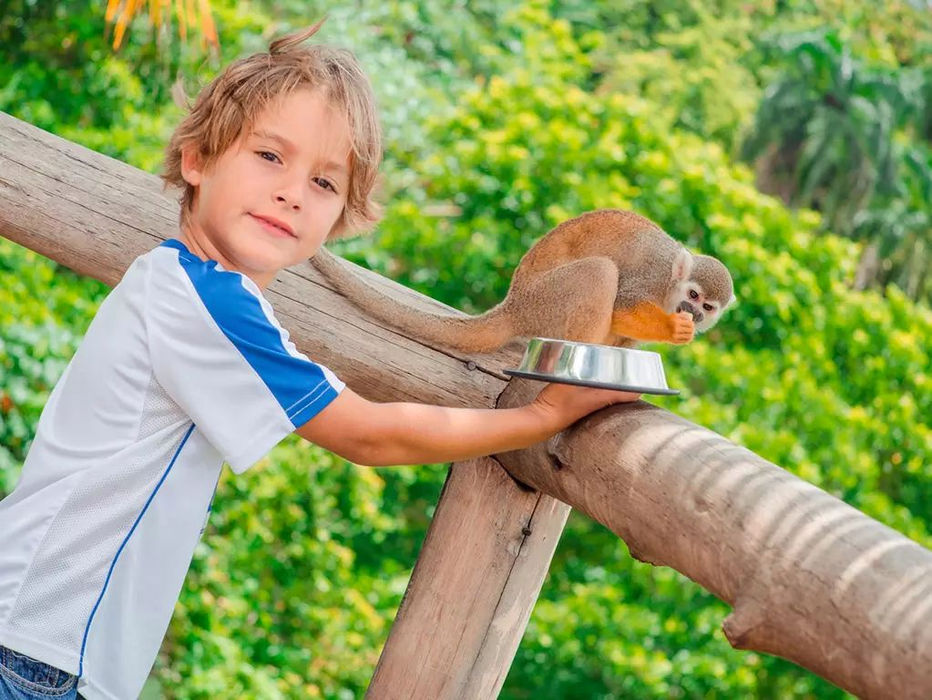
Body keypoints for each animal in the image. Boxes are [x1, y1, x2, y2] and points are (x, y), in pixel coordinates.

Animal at [310, 209, 736, 353]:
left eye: (708, 306)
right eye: (692, 294)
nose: (695, 314)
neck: (669, 290)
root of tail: (514, 306)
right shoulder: (652, 276)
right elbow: (623, 304)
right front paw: (674, 329)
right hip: (547, 301)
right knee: (600, 272)